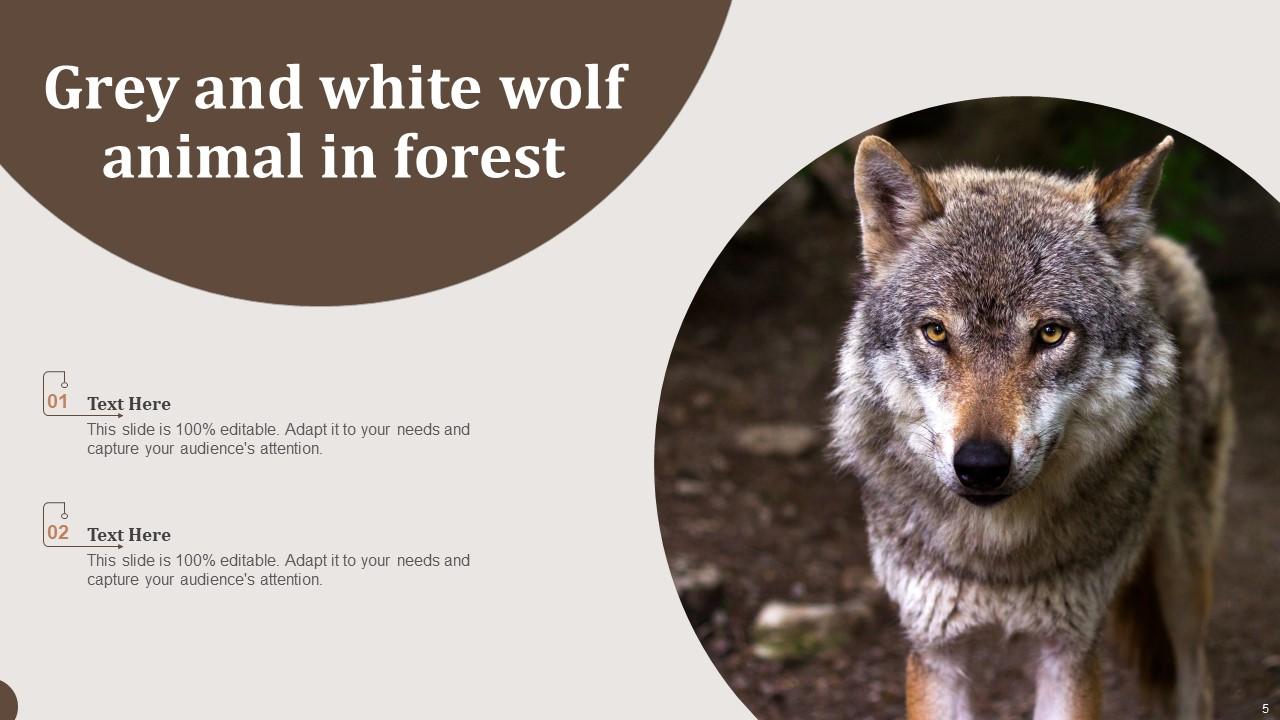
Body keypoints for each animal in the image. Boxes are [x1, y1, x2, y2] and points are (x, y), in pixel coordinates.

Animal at [829, 135, 1233, 719]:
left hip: (1182, 583)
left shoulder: (1069, 651)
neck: (998, 557)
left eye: (1049, 334)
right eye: (935, 332)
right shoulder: (935, 651)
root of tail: (1155, 245)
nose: (980, 466)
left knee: (1197, 682)